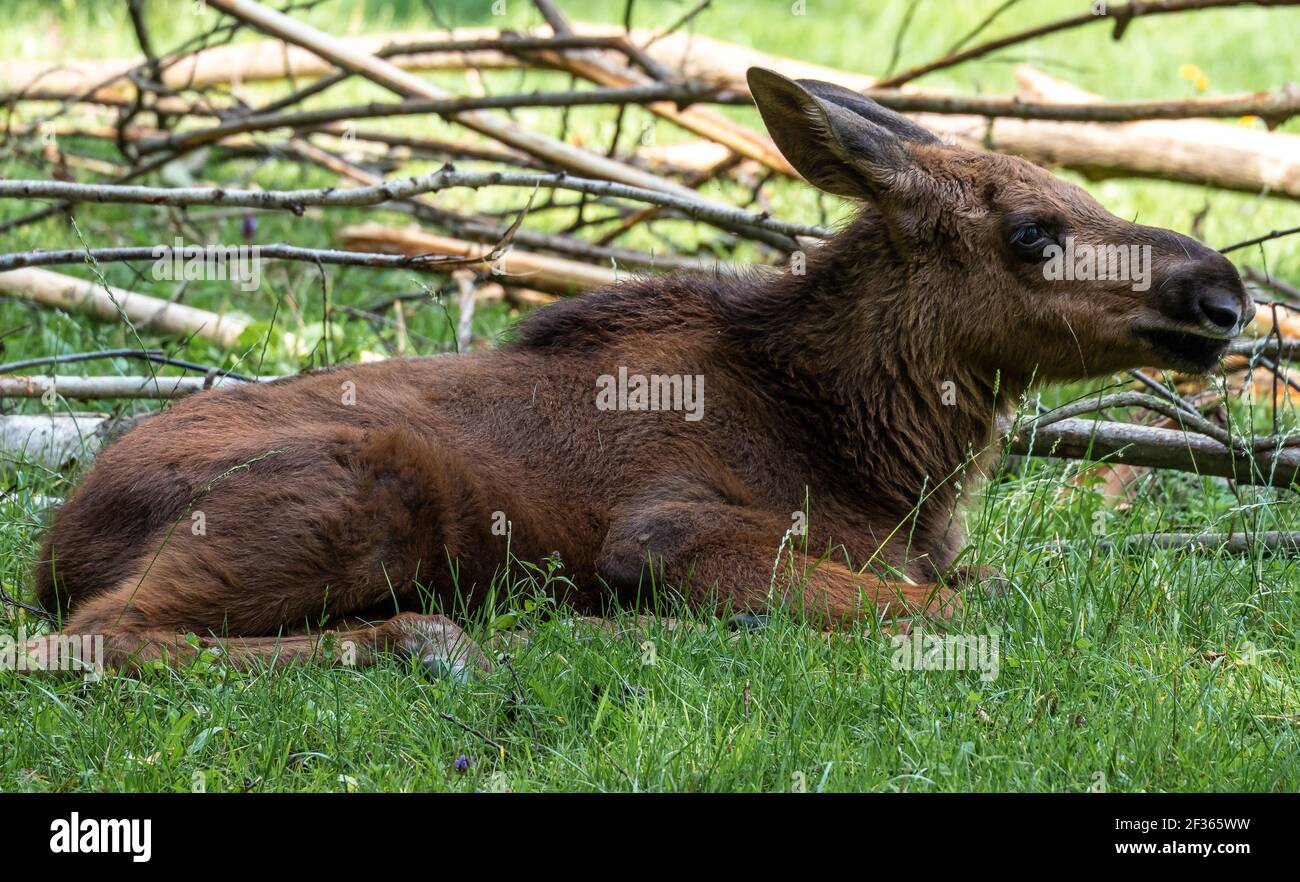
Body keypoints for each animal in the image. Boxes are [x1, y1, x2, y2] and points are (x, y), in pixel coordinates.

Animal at [24, 68, 1250, 679]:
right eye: (1034, 232)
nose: (1224, 293)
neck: (891, 461)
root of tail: (52, 547)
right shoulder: (665, 529)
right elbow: (931, 605)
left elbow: (980, 587)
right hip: (357, 479)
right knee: (79, 639)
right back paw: (435, 641)